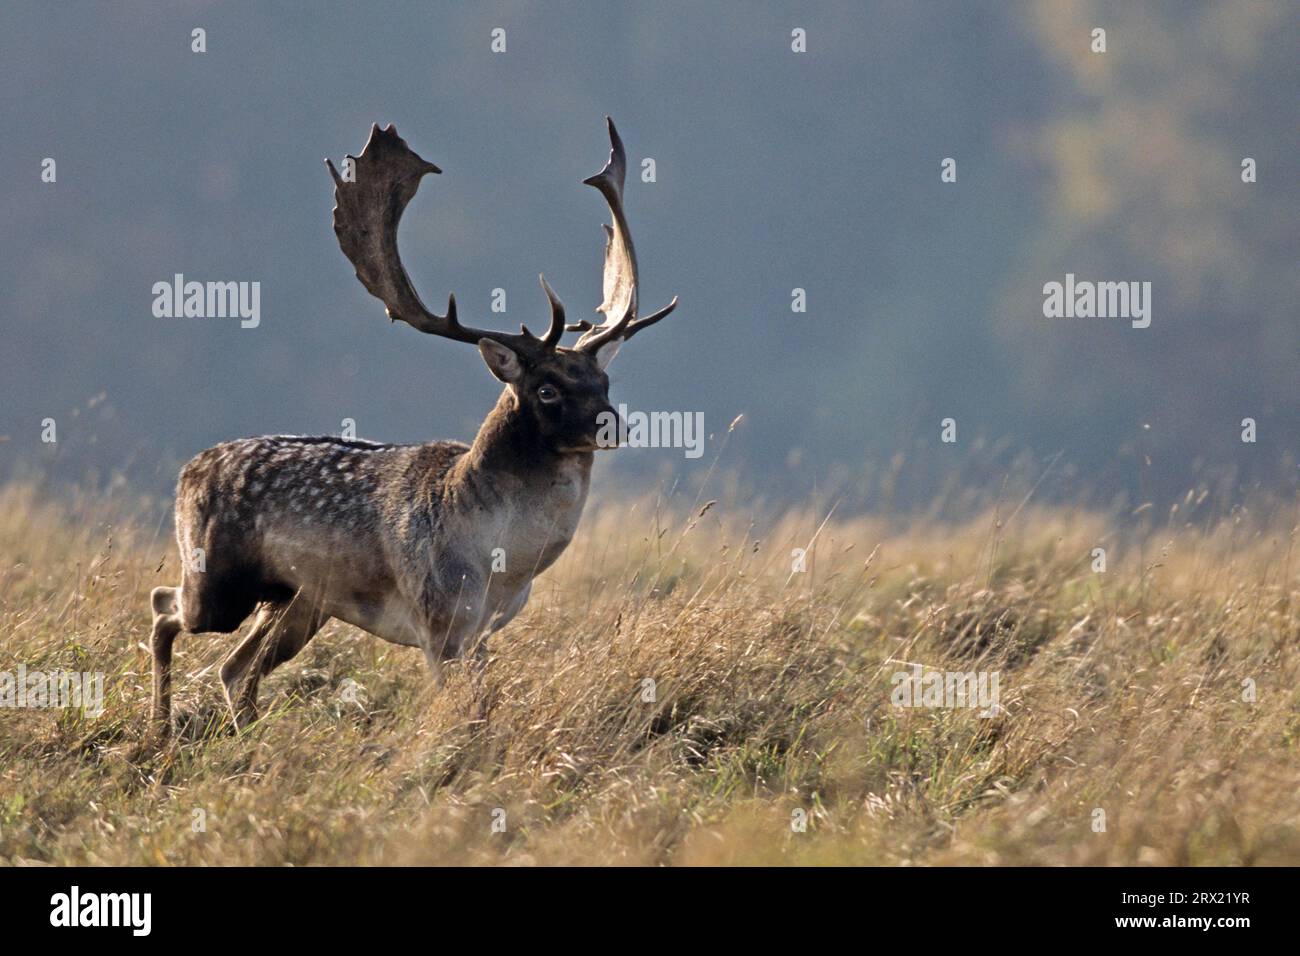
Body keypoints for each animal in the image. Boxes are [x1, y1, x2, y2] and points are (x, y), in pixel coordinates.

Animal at [147, 118, 678, 735]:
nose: (614, 426)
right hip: (215, 581)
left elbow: (483, 704)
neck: (503, 563)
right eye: (546, 388)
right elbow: (462, 709)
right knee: (164, 606)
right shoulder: (439, 619)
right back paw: (159, 725)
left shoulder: (483, 629)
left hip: (300, 600)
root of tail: (186, 472)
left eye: (604, 381)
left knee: (234, 669)